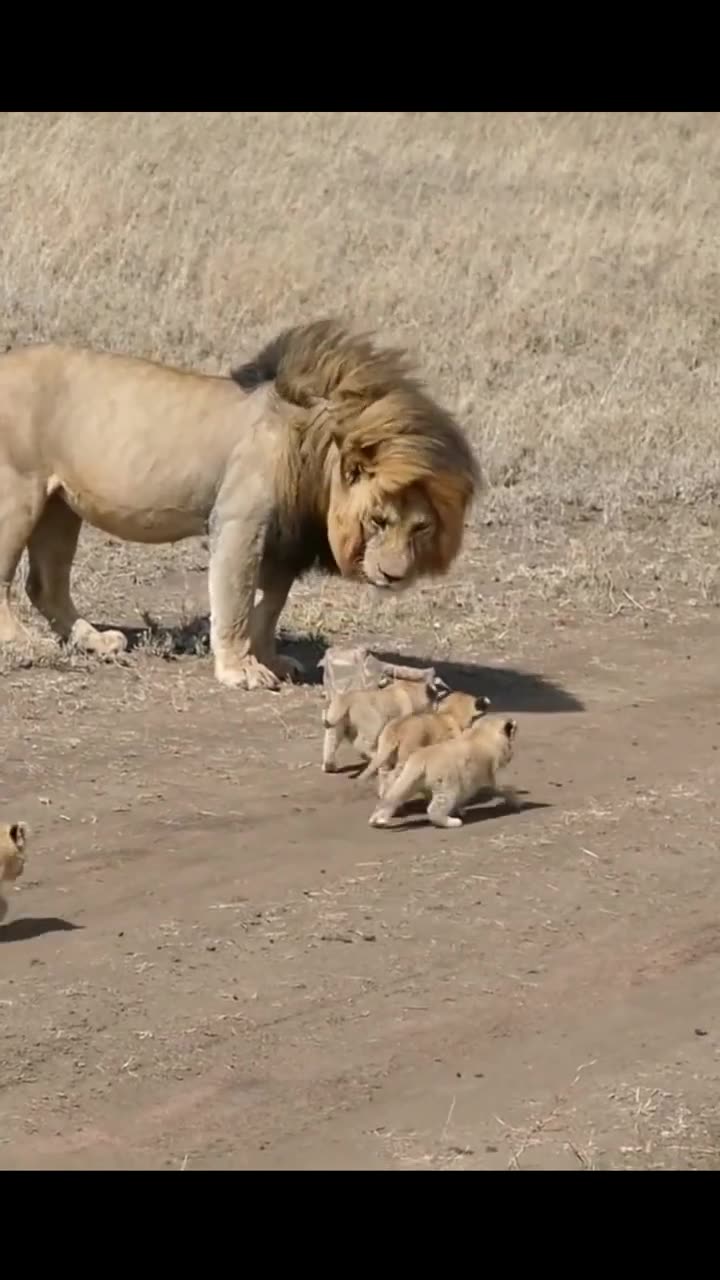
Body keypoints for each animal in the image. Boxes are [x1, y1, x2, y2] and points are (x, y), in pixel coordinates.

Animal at [0, 319, 480, 691]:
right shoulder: (239, 521)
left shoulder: (286, 541)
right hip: (18, 494)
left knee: (46, 584)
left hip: (61, 505)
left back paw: (96, 641)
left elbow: (268, 607)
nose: (393, 576)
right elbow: (235, 600)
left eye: (421, 527)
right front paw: (239, 670)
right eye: (378, 520)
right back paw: (23, 643)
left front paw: (269, 660)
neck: (315, 448)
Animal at [357, 690, 491, 795]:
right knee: (393, 777)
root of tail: (396, 730)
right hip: (404, 759)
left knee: (383, 773)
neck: (450, 713)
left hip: (385, 758)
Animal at [368, 715, 520, 829]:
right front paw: (519, 803)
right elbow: (507, 787)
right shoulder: (498, 771)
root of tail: (421, 758)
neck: (482, 732)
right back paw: (451, 822)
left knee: (392, 797)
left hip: (410, 782)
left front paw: (460, 809)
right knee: (434, 810)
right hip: (447, 786)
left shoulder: (467, 782)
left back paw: (379, 819)